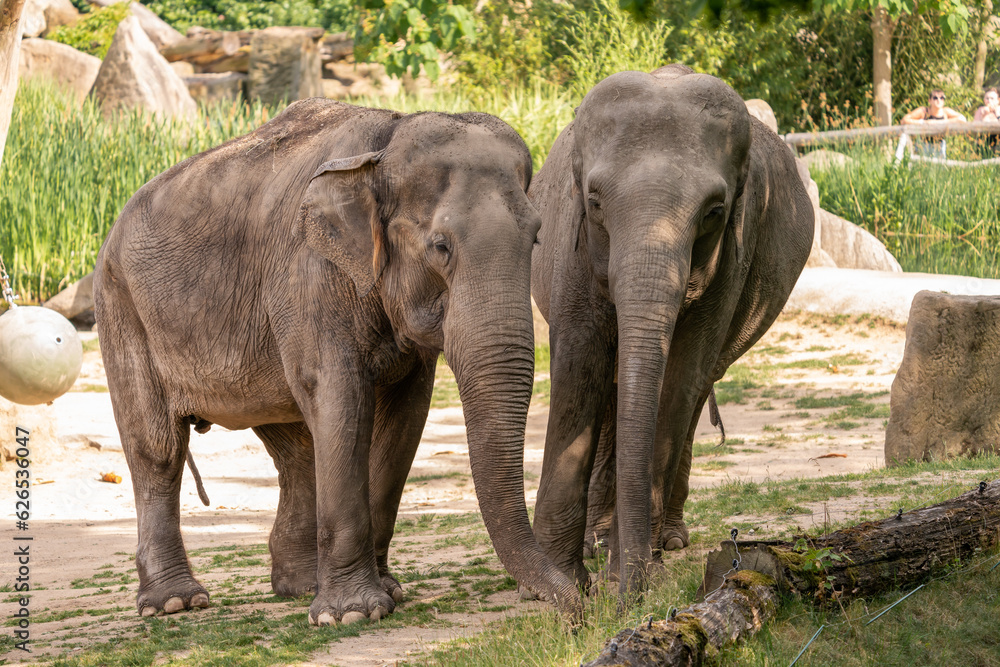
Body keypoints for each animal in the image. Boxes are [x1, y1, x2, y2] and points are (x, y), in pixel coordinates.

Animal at [94, 98, 584, 628]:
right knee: (158, 448)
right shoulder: (309, 275)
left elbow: (404, 416)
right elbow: (341, 397)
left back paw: (299, 586)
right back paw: (176, 603)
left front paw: (386, 592)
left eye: (536, 239)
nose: (581, 606)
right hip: (121, 308)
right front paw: (353, 614)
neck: (387, 139)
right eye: (441, 247)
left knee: (294, 448)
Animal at [528, 66, 816, 600]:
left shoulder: (732, 259)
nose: (627, 594)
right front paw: (559, 582)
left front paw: (636, 574)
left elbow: (679, 377)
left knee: (697, 388)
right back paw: (599, 542)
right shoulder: (569, 246)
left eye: (714, 212)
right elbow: (580, 363)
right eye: (595, 203)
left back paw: (665, 540)